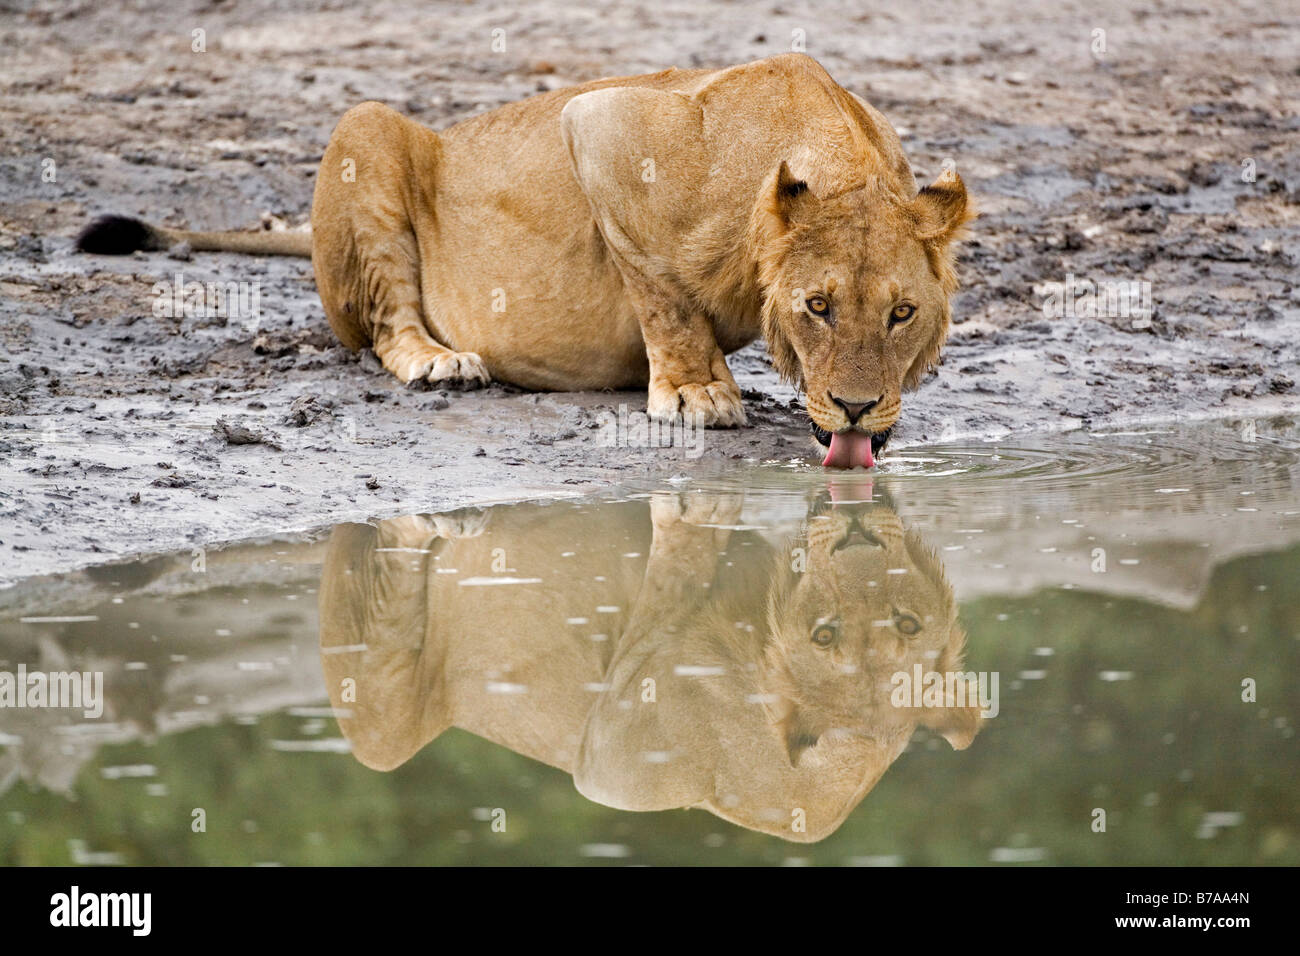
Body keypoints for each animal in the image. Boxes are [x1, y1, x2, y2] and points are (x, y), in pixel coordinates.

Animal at [77, 53, 975, 468]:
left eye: (901, 314)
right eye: (817, 307)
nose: (856, 409)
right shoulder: (602, 127)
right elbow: (661, 291)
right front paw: (695, 392)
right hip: (368, 131)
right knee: (386, 328)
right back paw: (439, 362)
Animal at [317, 482, 985, 842]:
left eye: (908, 623)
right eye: (826, 635)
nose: (857, 537)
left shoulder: (611, 754)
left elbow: (673, 580)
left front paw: (692, 515)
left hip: (380, 735)